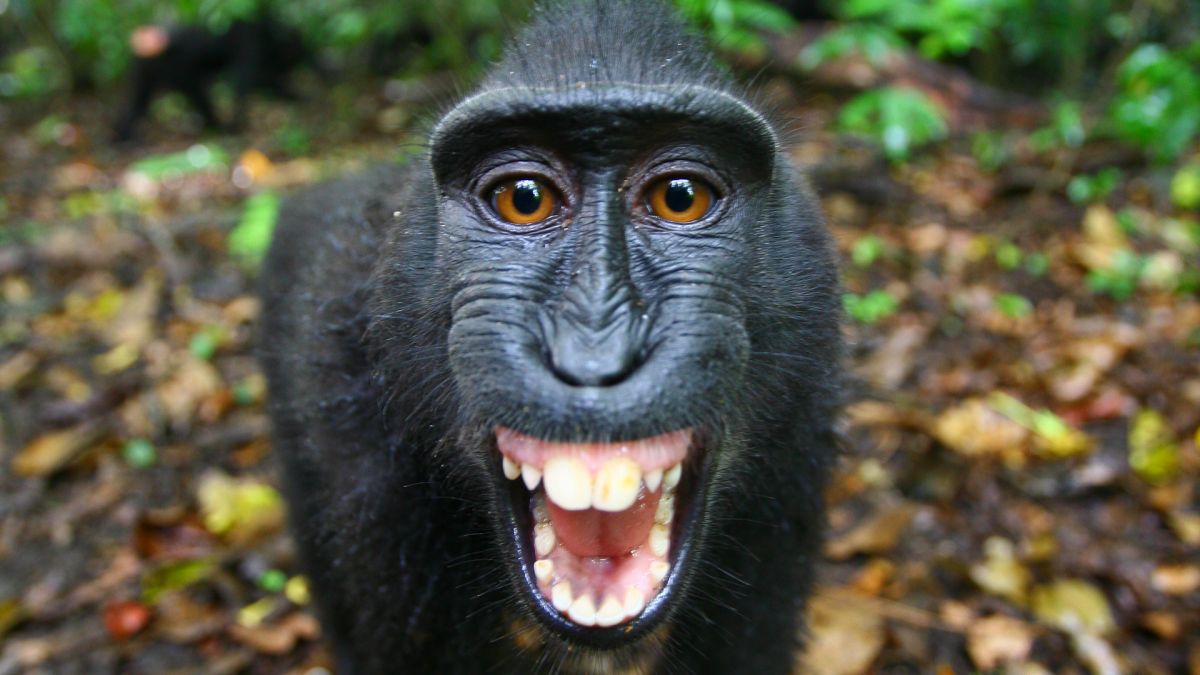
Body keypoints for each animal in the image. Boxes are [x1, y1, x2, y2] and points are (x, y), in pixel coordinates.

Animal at [113, 14, 311, 141]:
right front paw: (236, 126)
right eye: (297, 53)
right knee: (202, 100)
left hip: (143, 76)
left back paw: (123, 139)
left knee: (136, 107)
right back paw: (218, 126)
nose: (303, 55)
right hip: (183, 78)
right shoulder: (250, 50)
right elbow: (245, 85)